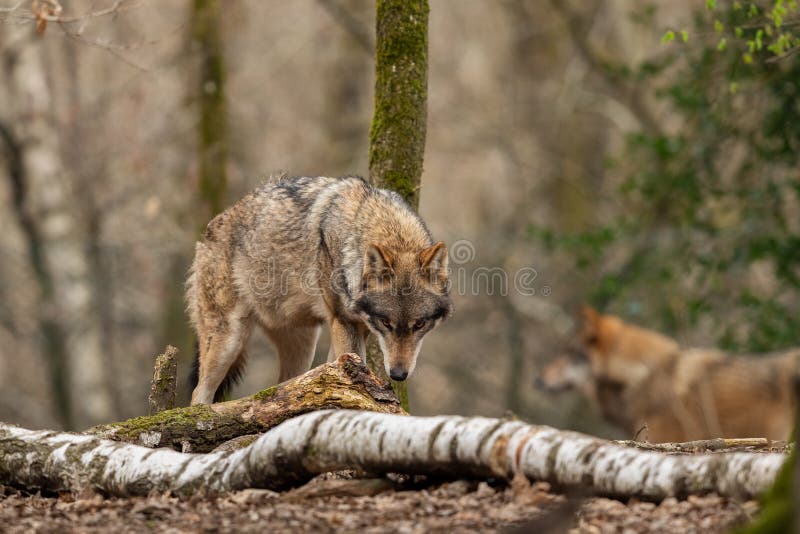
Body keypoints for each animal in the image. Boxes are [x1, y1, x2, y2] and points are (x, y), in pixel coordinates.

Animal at [186, 175, 453, 405]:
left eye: (419, 324)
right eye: (386, 323)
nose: (398, 374)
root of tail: (211, 226)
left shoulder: (355, 329)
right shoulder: (344, 321)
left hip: (303, 344)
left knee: (285, 390)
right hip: (228, 341)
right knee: (199, 393)